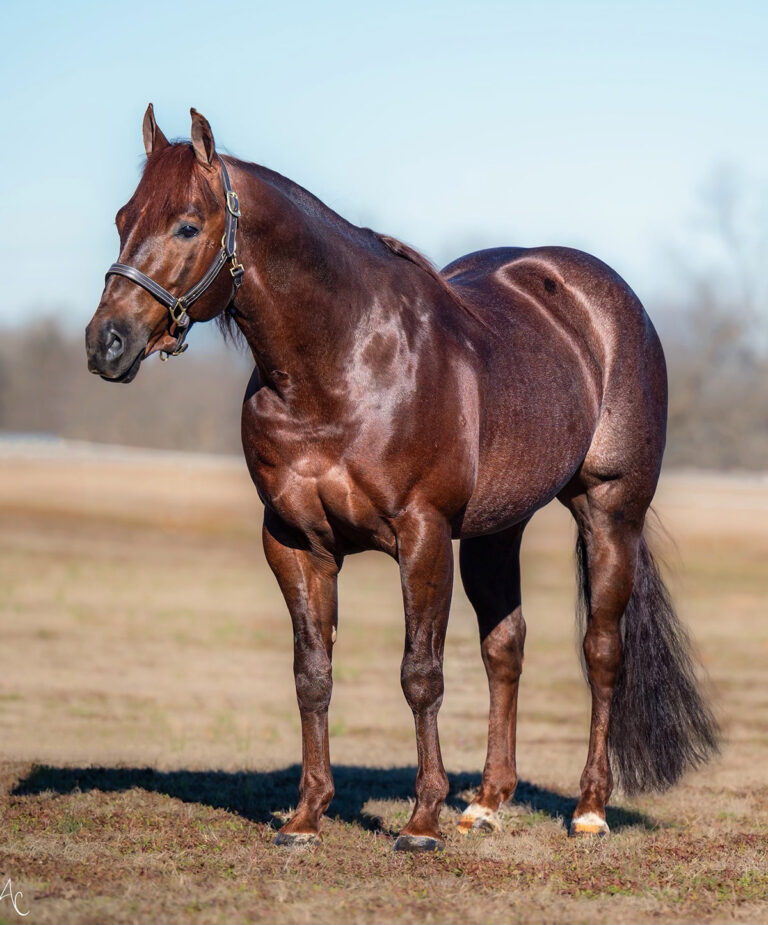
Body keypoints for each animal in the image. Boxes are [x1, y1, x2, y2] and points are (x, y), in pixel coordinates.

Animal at [85, 105, 719, 851]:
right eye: (123, 217)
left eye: (186, 223)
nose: (106, 342)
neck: (341, 366)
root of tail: (606, 300)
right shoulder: (294, 543)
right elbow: (312, 675)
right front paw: (306, 817)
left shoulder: (422, 535)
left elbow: (421, 674)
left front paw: (421, 822)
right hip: (496, 531)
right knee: (505, 647)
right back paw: (487, 801)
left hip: (609, 510)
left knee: (601, 651)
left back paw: (589, 809)